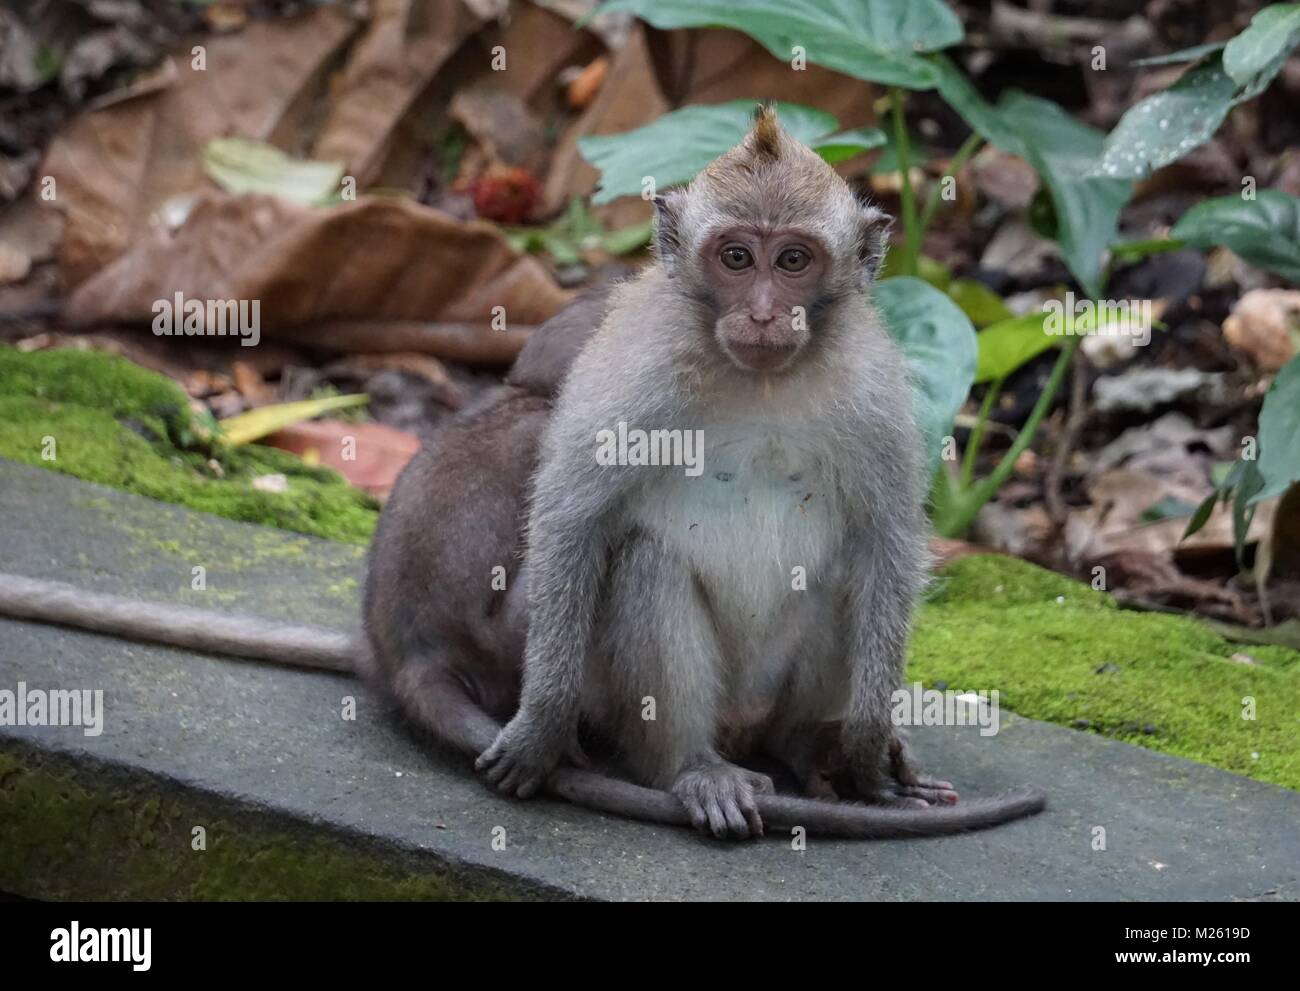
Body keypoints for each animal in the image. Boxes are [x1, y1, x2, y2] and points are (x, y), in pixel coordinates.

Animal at [0, 108, 1046, 840]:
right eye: (736, 255)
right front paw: (541, 729)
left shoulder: (875, 386)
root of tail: (399, 645)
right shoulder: (635, 360)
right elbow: (578, 517)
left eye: (794, 259)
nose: (761, 311)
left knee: (841, 574)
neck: (759, 376)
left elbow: (886, 543)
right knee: (641, 564)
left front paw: (869, 754)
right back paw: (691, 769)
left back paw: (809, 748)